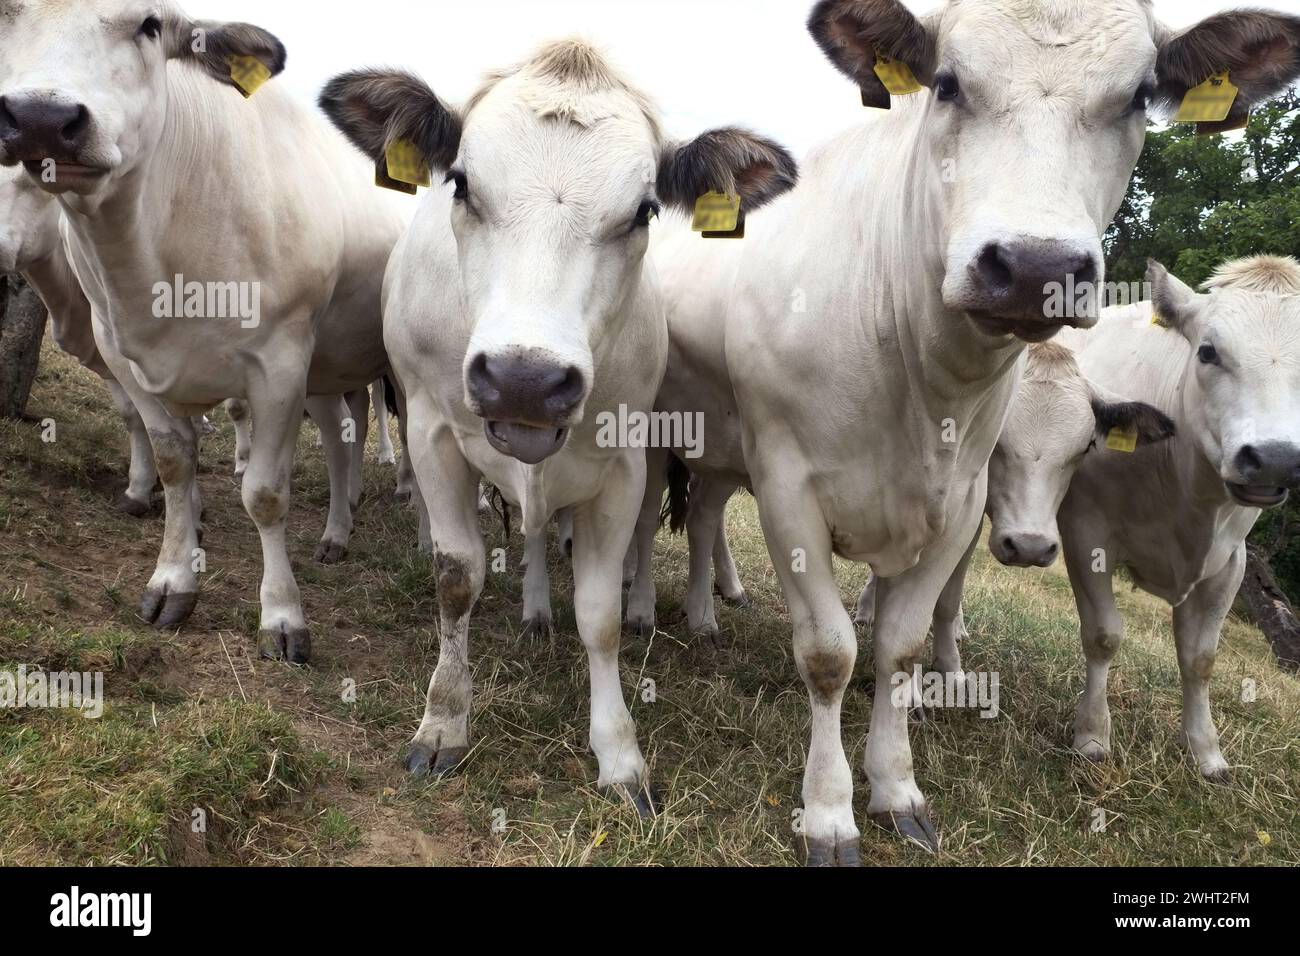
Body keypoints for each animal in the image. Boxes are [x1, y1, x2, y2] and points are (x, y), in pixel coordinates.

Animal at [0, 0, 410, 663]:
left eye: (147, 24)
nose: (42, 118)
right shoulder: (124, 357)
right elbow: (175, 466)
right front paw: (174, 577)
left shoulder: (279, 364)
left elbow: (265, 494)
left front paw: (282, 615)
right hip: (328, 369)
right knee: (339, 436)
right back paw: (337, 530)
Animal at [320, 39, 797, 808]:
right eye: (461, 184)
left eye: (642, 212)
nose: (525, 380)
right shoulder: (431, 433)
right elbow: (456, 577)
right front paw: (443, 721)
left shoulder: (625, 464)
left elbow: (600, 614)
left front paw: (620, 754)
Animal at [1057, 255, 1300, 780]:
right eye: (1207, 352)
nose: (1273, 458)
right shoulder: (1086, 532)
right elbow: (1103, 636)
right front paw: (1092, 735)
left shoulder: (1231, 563)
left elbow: (1200, 658)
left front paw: (1206, 751)